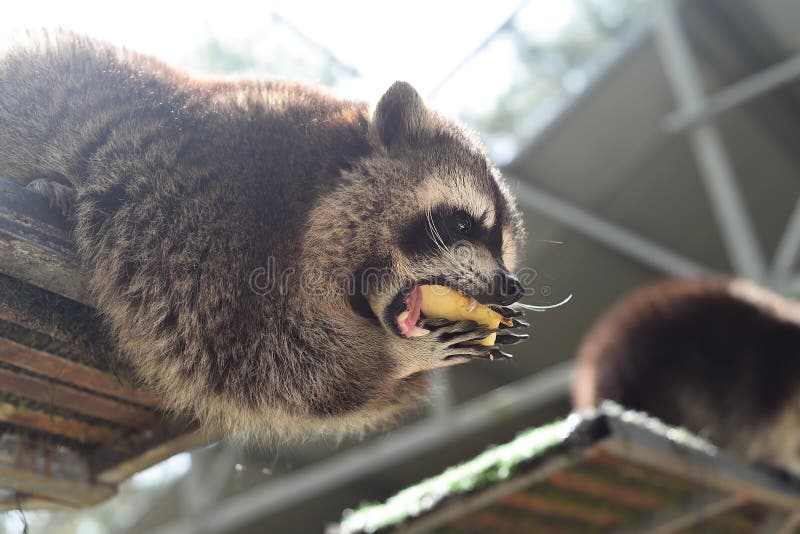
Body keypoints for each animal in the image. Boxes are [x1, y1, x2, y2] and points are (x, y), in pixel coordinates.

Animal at [0, 33, 527, 440]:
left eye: (505, 251)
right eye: (462, 224)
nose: (511, 285)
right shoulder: (204, 209)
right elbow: (244, 352)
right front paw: (397, 358)